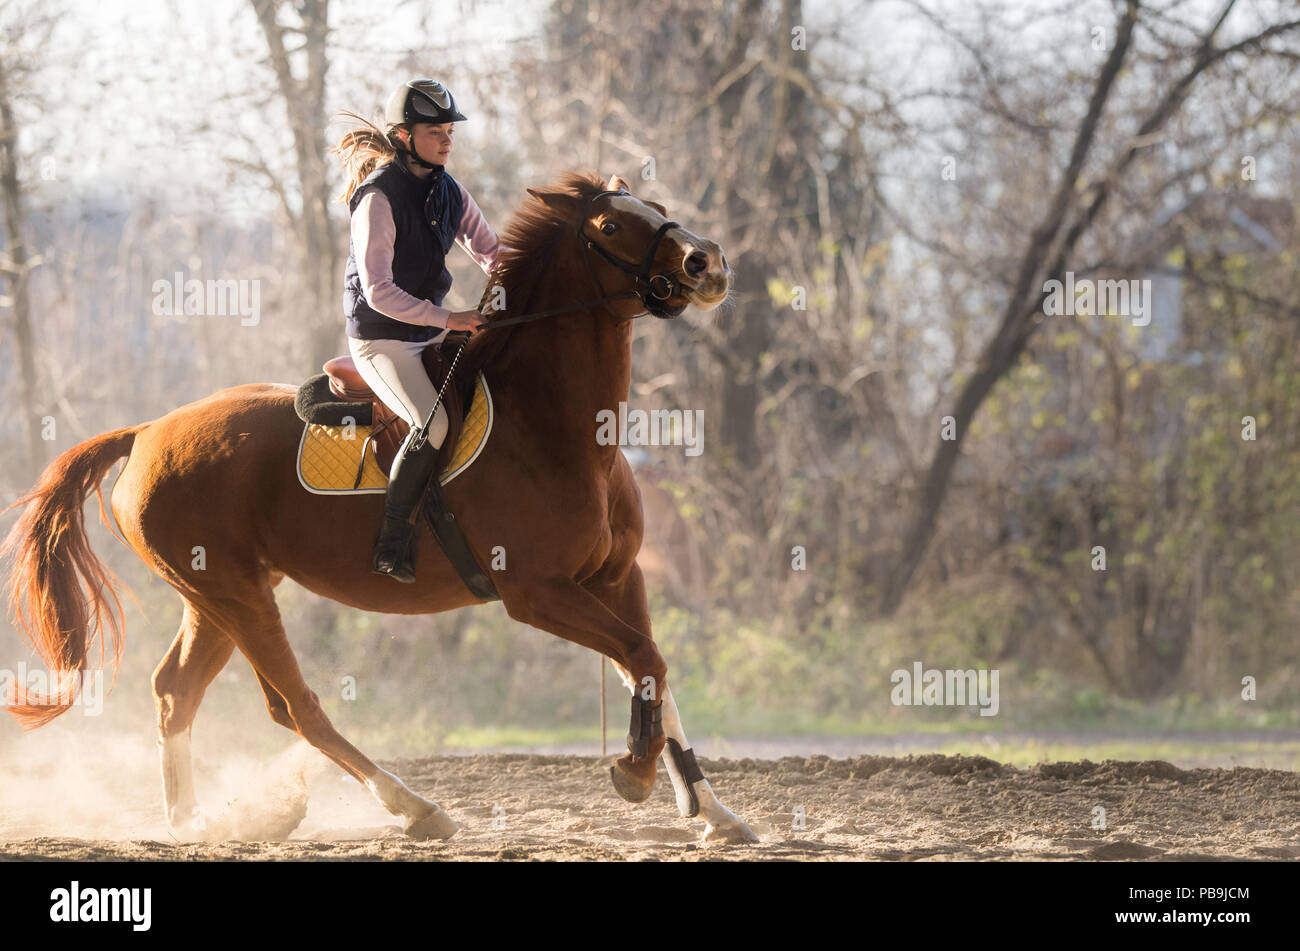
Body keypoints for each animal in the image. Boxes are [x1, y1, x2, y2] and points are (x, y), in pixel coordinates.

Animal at [2, 169, 758, 845]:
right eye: (608, 225)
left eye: (652, 208)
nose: (709, 262)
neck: (555, 424)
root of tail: (146, 431)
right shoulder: (538, 591)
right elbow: (643, 658)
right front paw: (634, 770)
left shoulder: (616, 576)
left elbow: (652, 666)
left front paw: (713, 812)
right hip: (236, 595)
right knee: (294, 706)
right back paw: (413, 806)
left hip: (214, 594)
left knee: (175, 692)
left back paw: (193, 823)